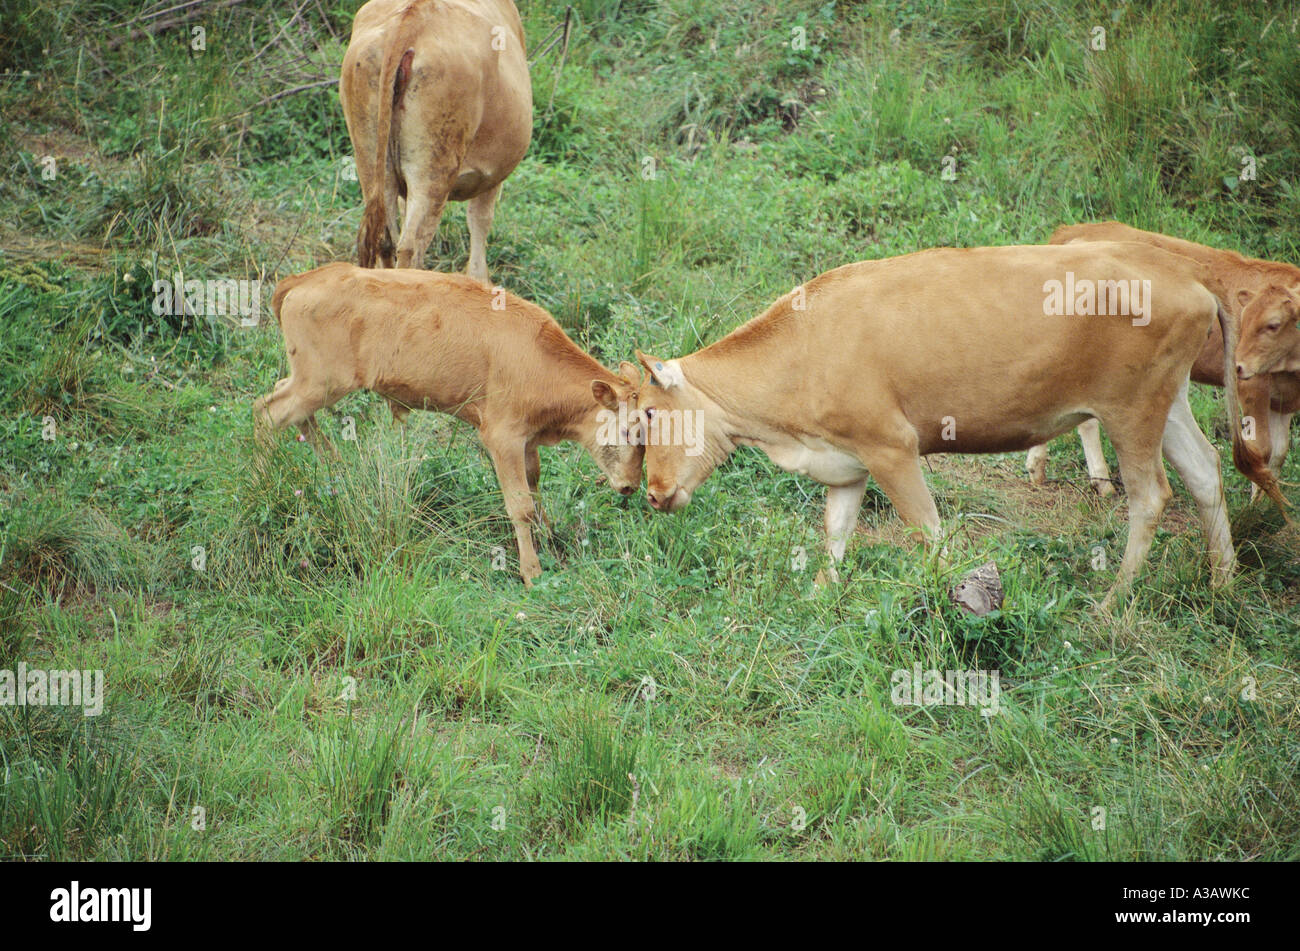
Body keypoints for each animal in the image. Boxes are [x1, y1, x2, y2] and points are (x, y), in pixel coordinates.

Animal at [253, 263, 644, 586]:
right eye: (628, 431)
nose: (630, 486)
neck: (537, 356)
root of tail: (305, 279)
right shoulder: (501, 437)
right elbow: (520, 504)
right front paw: (532, 573)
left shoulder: (527, 441)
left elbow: (534, 487)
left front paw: (549, 537)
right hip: (321, 383)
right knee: (266, 412)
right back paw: (265, 480)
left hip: (311, 384)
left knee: (289, 410)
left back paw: (338, 472)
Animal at [340, 0, 532, 278]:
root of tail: (410, 21)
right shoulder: (491, 175)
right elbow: (479, 230)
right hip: (433, 170)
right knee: (411, 247)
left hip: (371, 162)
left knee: (385, 238)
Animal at [632, 243, 1277, 606]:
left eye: (647, 413)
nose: (653, 494)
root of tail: (1186, 275)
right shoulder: (847, 464)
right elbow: (835, 535)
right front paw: (817, 598)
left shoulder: (891, 448)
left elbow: (931, 536)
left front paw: (955, 603)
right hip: (1168, 402)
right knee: (1205, 472)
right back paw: (1222, 586)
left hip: (1131, 410)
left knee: (1151, 495)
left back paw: (1114, 599)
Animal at [1025, 221, 1300, 508]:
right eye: (1243, 321)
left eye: (1273, 325)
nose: (1237, 363)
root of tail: (1078, 229)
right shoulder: (1253, 388)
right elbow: (1263, 450)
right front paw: (1255, 504)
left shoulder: (1285, 401)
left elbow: (1279, 453)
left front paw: (1268, 504)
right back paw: (1102, 483)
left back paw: (1037, 468)